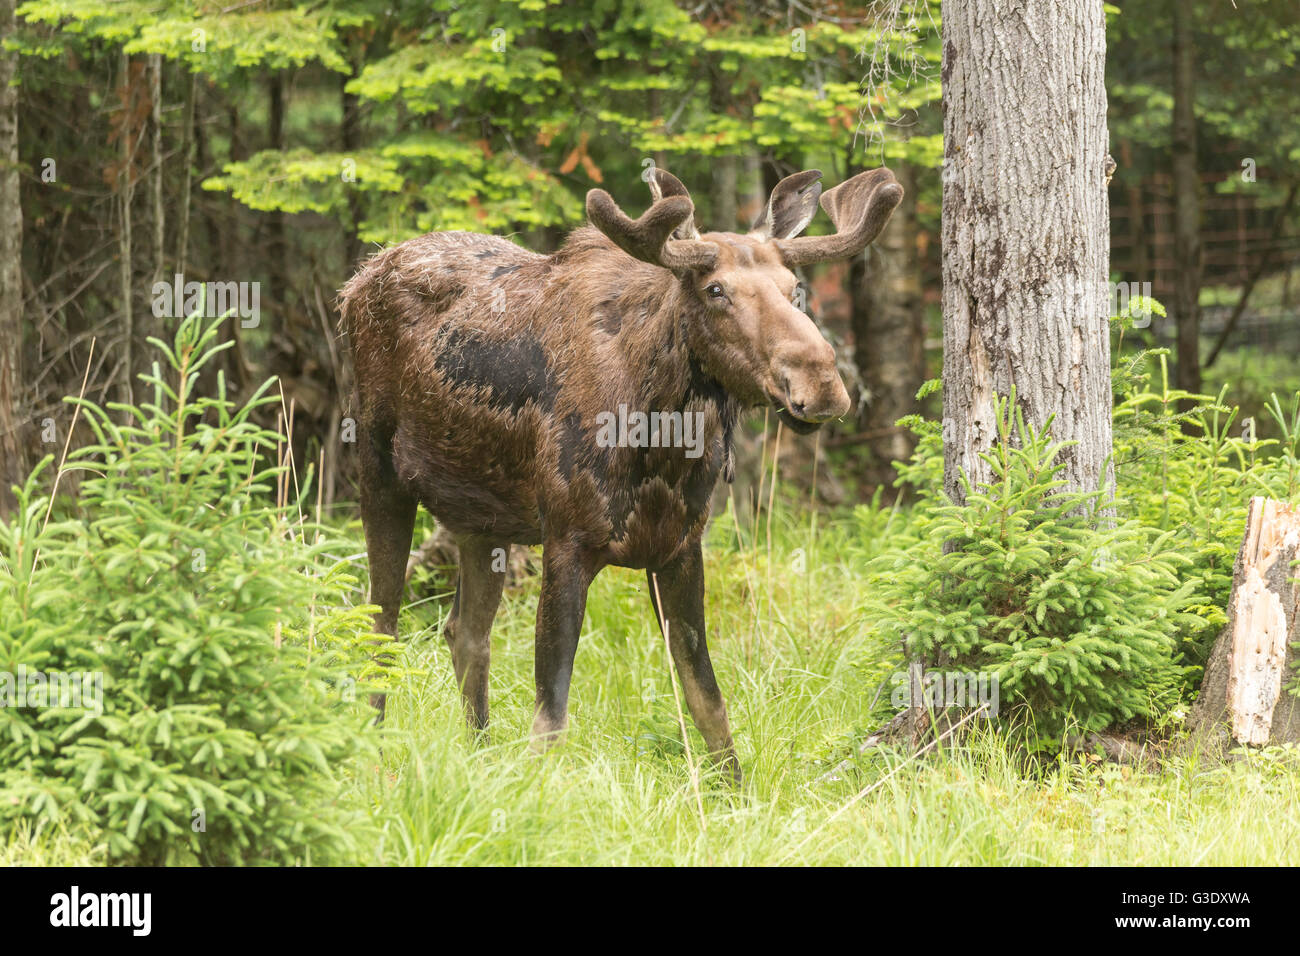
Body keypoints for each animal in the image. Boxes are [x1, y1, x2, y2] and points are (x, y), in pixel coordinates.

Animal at [339, 165, 903, 782]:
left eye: (793, 287)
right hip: (379, 470)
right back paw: (374, 753)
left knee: (464, 633)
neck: (662, 451)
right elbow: (551, 715)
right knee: (381, 624)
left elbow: (708, 701)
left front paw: (735, 790)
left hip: (481, 519)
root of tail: (358, 281)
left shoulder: (681, 548)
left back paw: (480, 754)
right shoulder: (567, 540)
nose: (821, 384)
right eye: (715, 290)